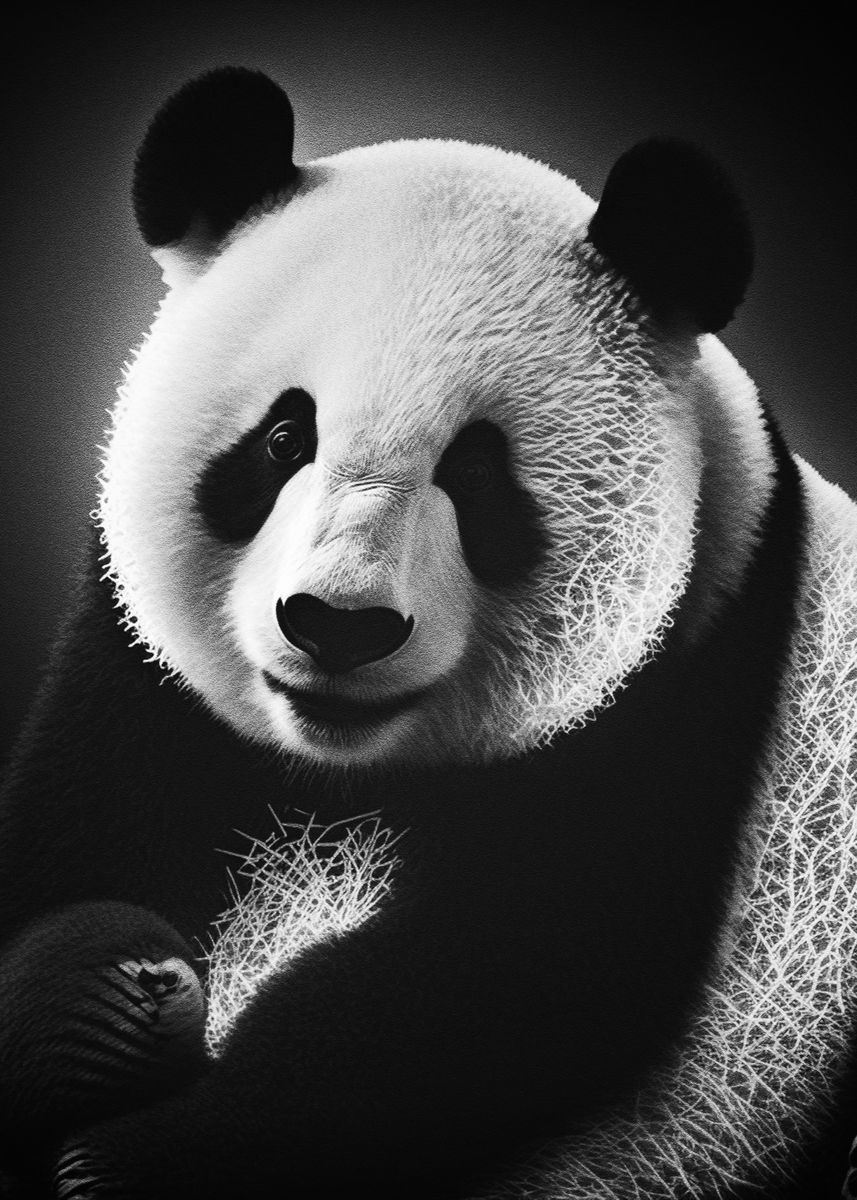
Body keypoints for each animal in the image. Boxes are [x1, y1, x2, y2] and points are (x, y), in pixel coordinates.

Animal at [0, 65, 856, 1200]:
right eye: (284, 437)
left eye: (477, 475)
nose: (336, 625)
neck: (341, 771)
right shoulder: (139, 682)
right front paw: (95, 1003)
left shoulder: (680, 699)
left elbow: (481, 997)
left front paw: (132, 1157)